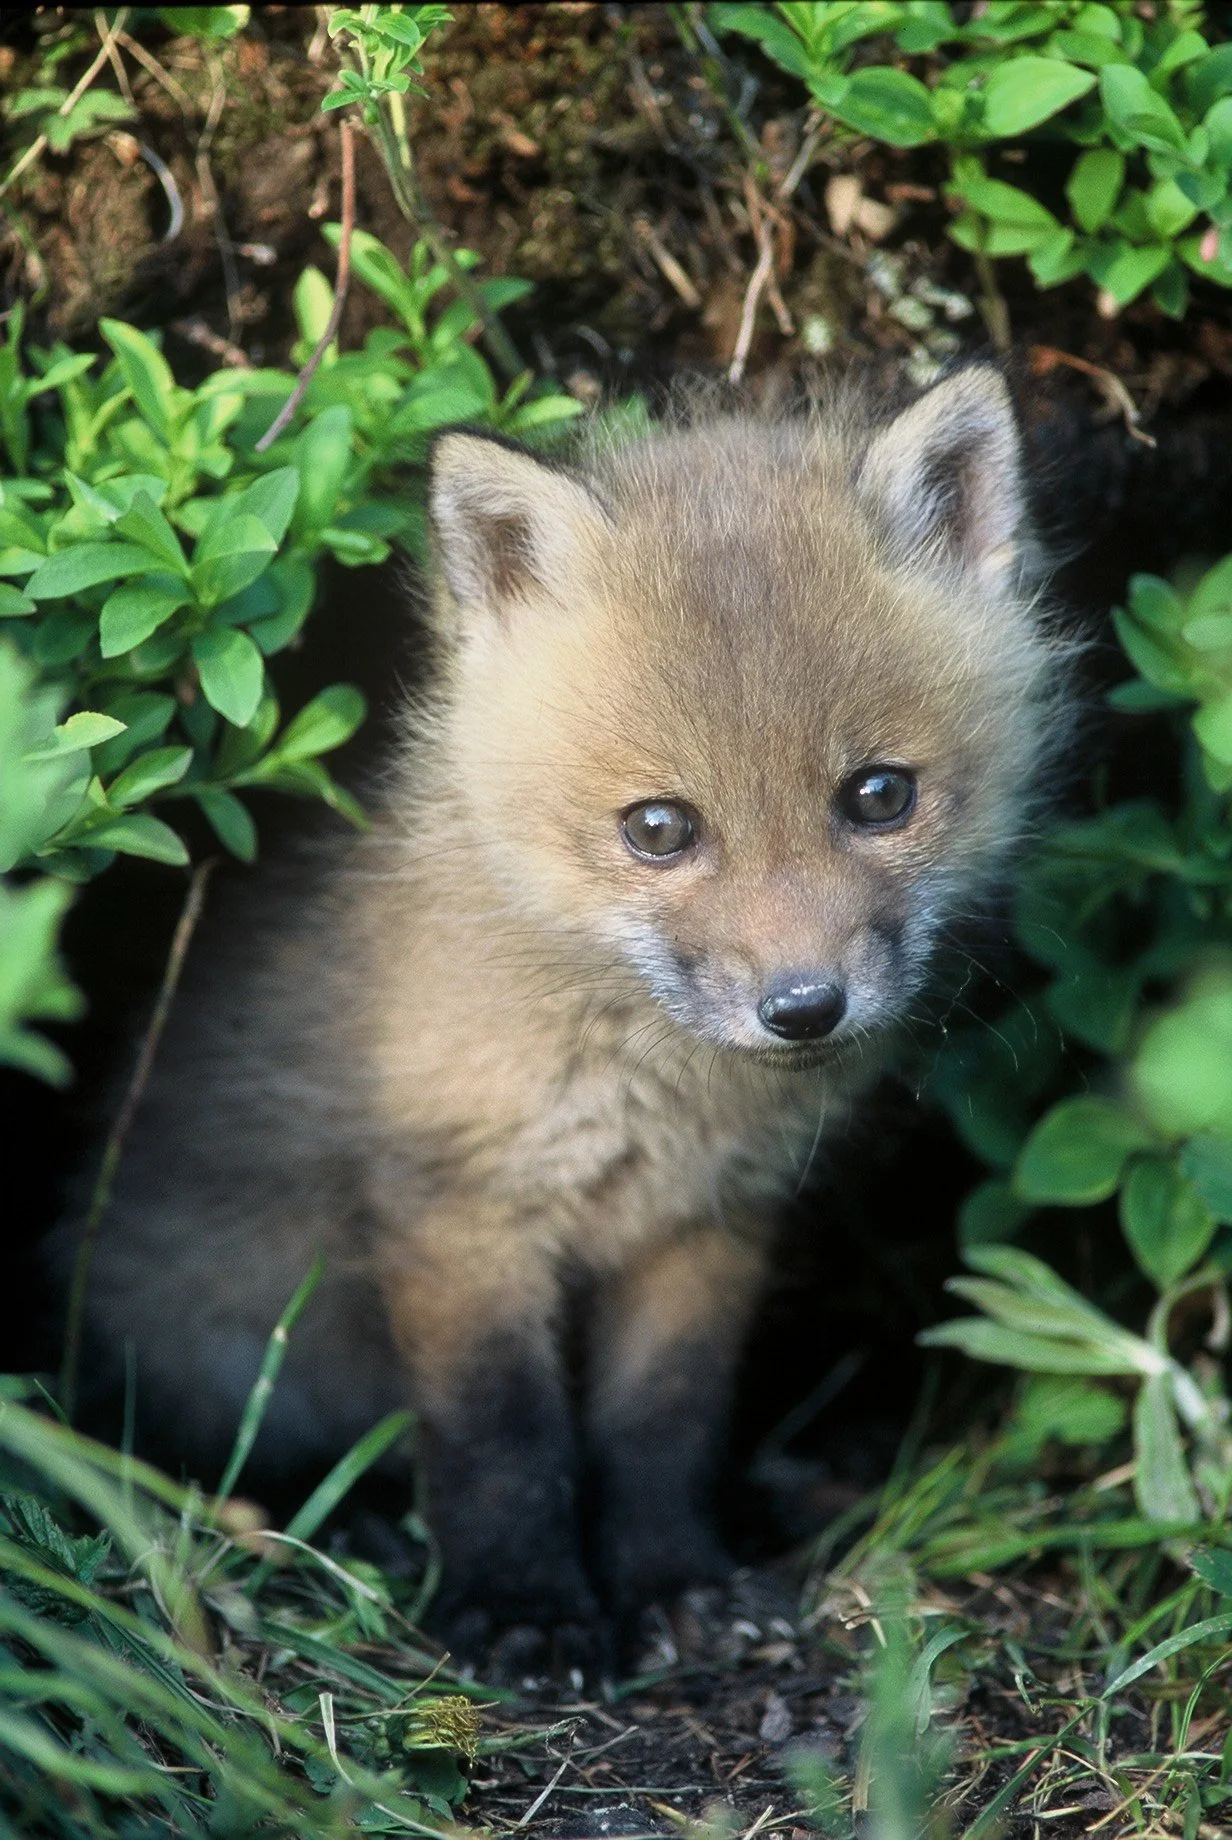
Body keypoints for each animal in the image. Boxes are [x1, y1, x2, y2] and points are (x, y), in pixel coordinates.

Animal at [64, 363, 1065, 1675]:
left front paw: (675, 1582)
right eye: (658, 828)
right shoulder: (461, 1206)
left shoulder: (707, 1223)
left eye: (877, 796)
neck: (655, 1098)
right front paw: (521, 1606)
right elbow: (500, 1439)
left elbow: (660, 1425)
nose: (802, 1008)